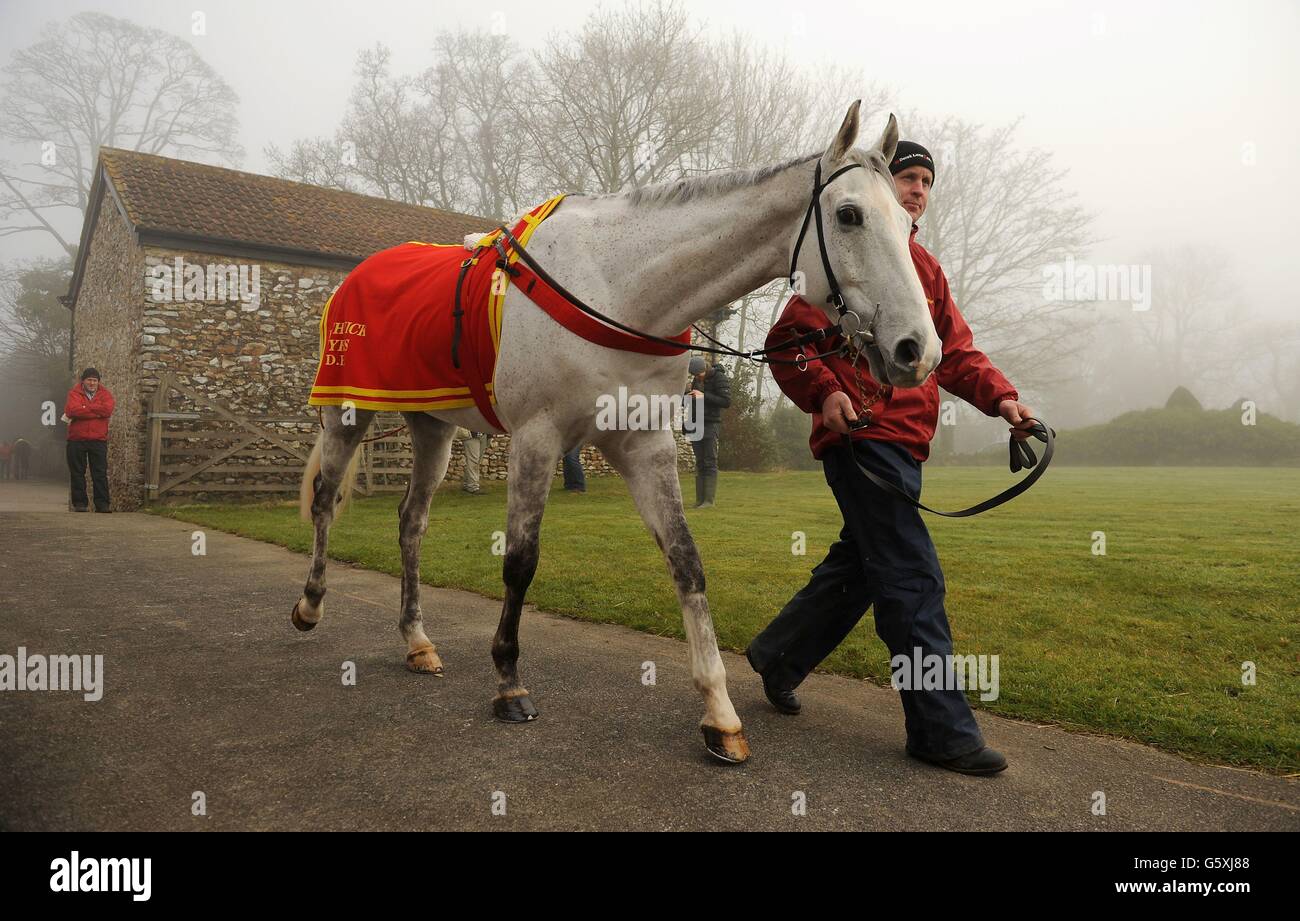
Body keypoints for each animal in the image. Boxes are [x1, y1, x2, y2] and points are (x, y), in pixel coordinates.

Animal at [294, 101, 941, 763]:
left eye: (906, 223)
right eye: (849, 214)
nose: (918, 349)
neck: (617, 289)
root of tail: (357, 276)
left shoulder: (645, 445)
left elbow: (687, 561)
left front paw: (719, 712)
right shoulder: (536, 438)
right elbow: (520, 561)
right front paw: (509, 682)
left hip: (433, 426)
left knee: (411, 521)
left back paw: (417, 640)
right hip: (347, 412)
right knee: (325, 501)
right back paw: (312, 604)